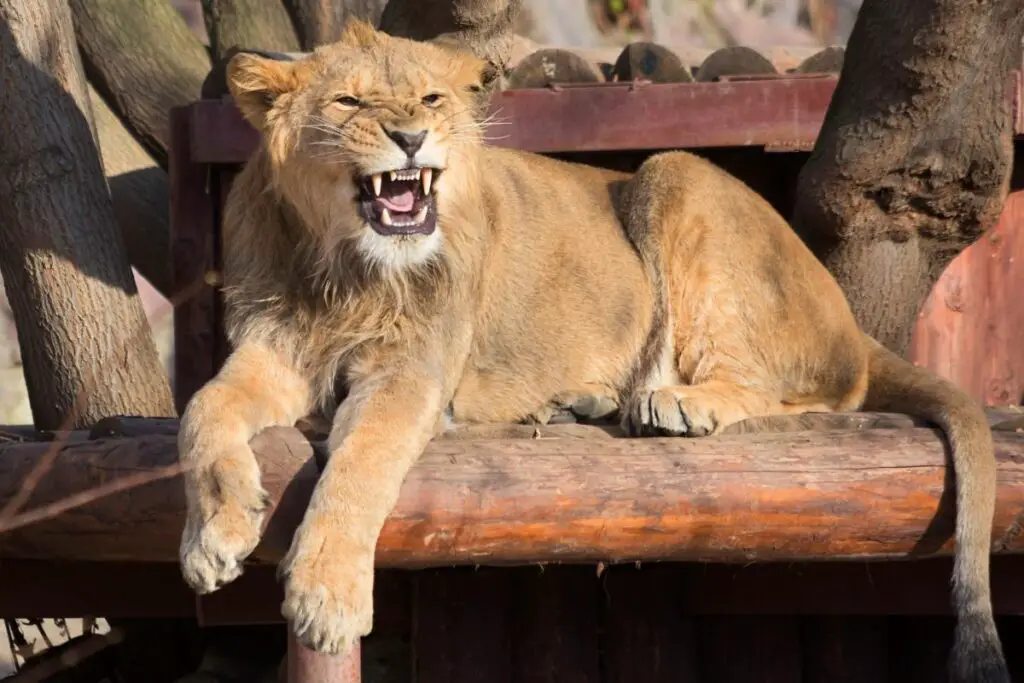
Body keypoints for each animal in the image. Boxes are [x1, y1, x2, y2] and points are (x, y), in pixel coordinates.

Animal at [176, 21, 1007, 683]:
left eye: (432, 100)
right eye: (349, 104)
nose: (410, 138)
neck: (344, 270)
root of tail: (847, 313)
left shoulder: (412, 373)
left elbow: (361, 463)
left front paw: (326, 596)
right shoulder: (273, 350)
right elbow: (201, 411)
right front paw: (213, 533)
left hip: (675, 172)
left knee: (797, 388)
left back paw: (676, 402)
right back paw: (587, 399)